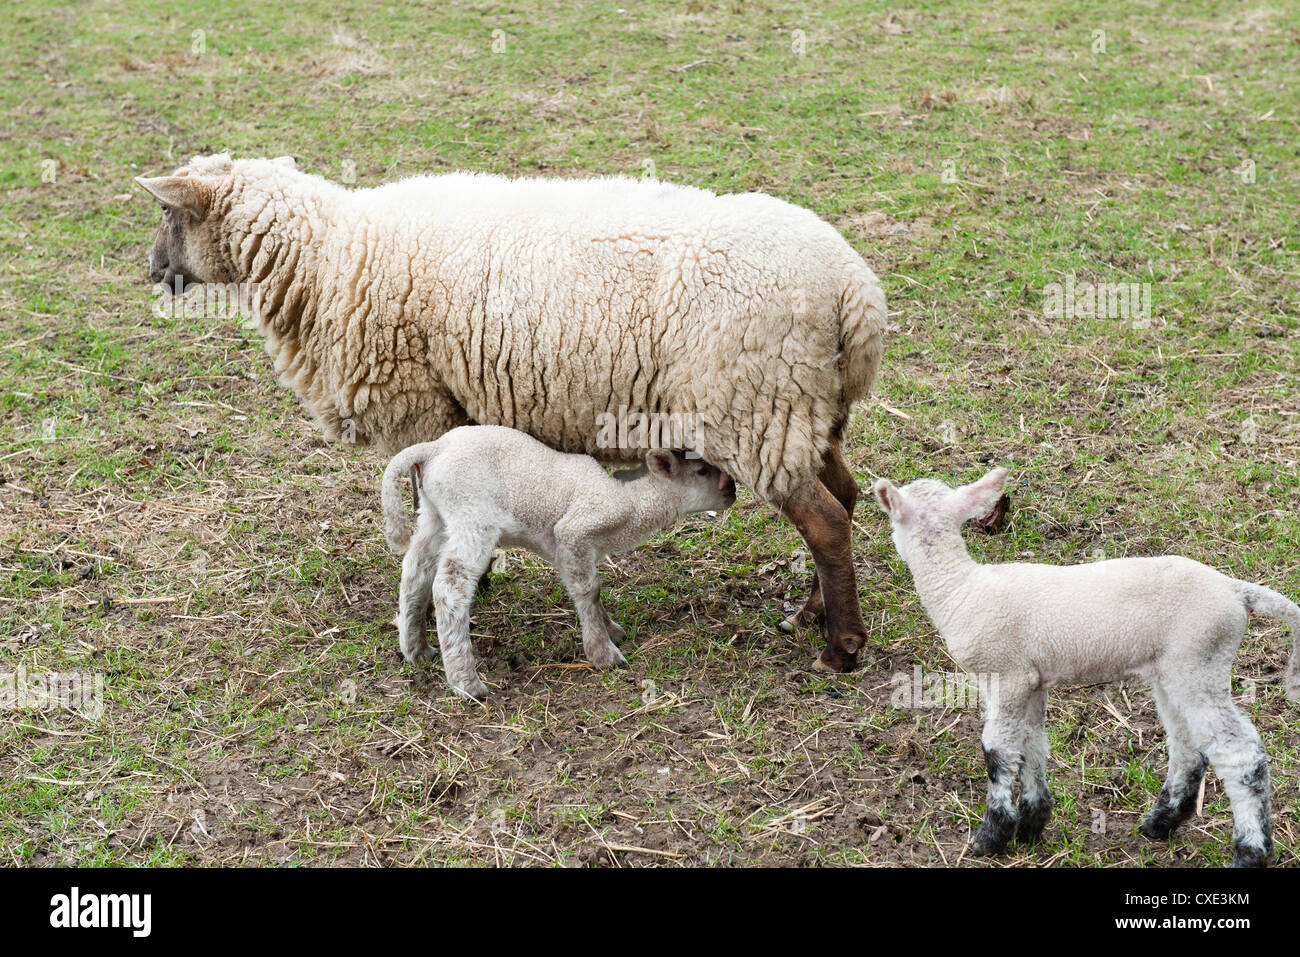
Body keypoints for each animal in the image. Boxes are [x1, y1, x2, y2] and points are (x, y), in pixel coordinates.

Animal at [381, 425, 737, 699]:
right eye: (702, 471)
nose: (732, 490)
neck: (631, 501)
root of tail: (433, 449)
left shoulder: (578, 549)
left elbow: (591, 588)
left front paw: (610, 630)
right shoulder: (575, 531)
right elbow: (589, 591)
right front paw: (603, 652)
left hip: (435, 513)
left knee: (415, 571)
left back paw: (415, 649)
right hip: (472, 513)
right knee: (449, 587)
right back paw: (466, 682)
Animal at [872, 467, 1299, 867]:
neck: (961, 589)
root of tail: (1236, 590)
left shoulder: (1007, 674)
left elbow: (998, 751)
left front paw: (991, 837)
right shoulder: (1032, 680)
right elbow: (1031, 742)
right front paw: (1031, 825)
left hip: (1200, 660)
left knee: (1239, 753)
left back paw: (1249, 851)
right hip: (1174, 670)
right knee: (1188, 746)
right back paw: (1159, 823)